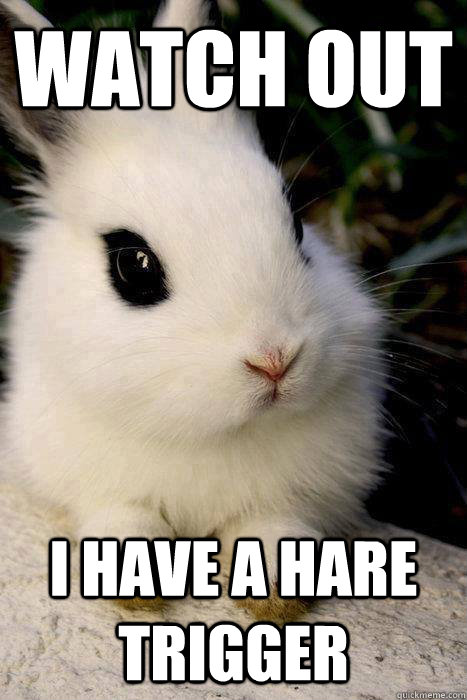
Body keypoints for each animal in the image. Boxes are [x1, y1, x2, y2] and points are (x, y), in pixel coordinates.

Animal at [0, 0, 384, 622]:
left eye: (297, 225)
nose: (274, 360)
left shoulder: (292, 498)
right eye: (134, 266)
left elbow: (272, 525)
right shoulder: (92, 482)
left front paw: (276, 598)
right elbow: (122, 516)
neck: (211, 435)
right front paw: (139, 593)